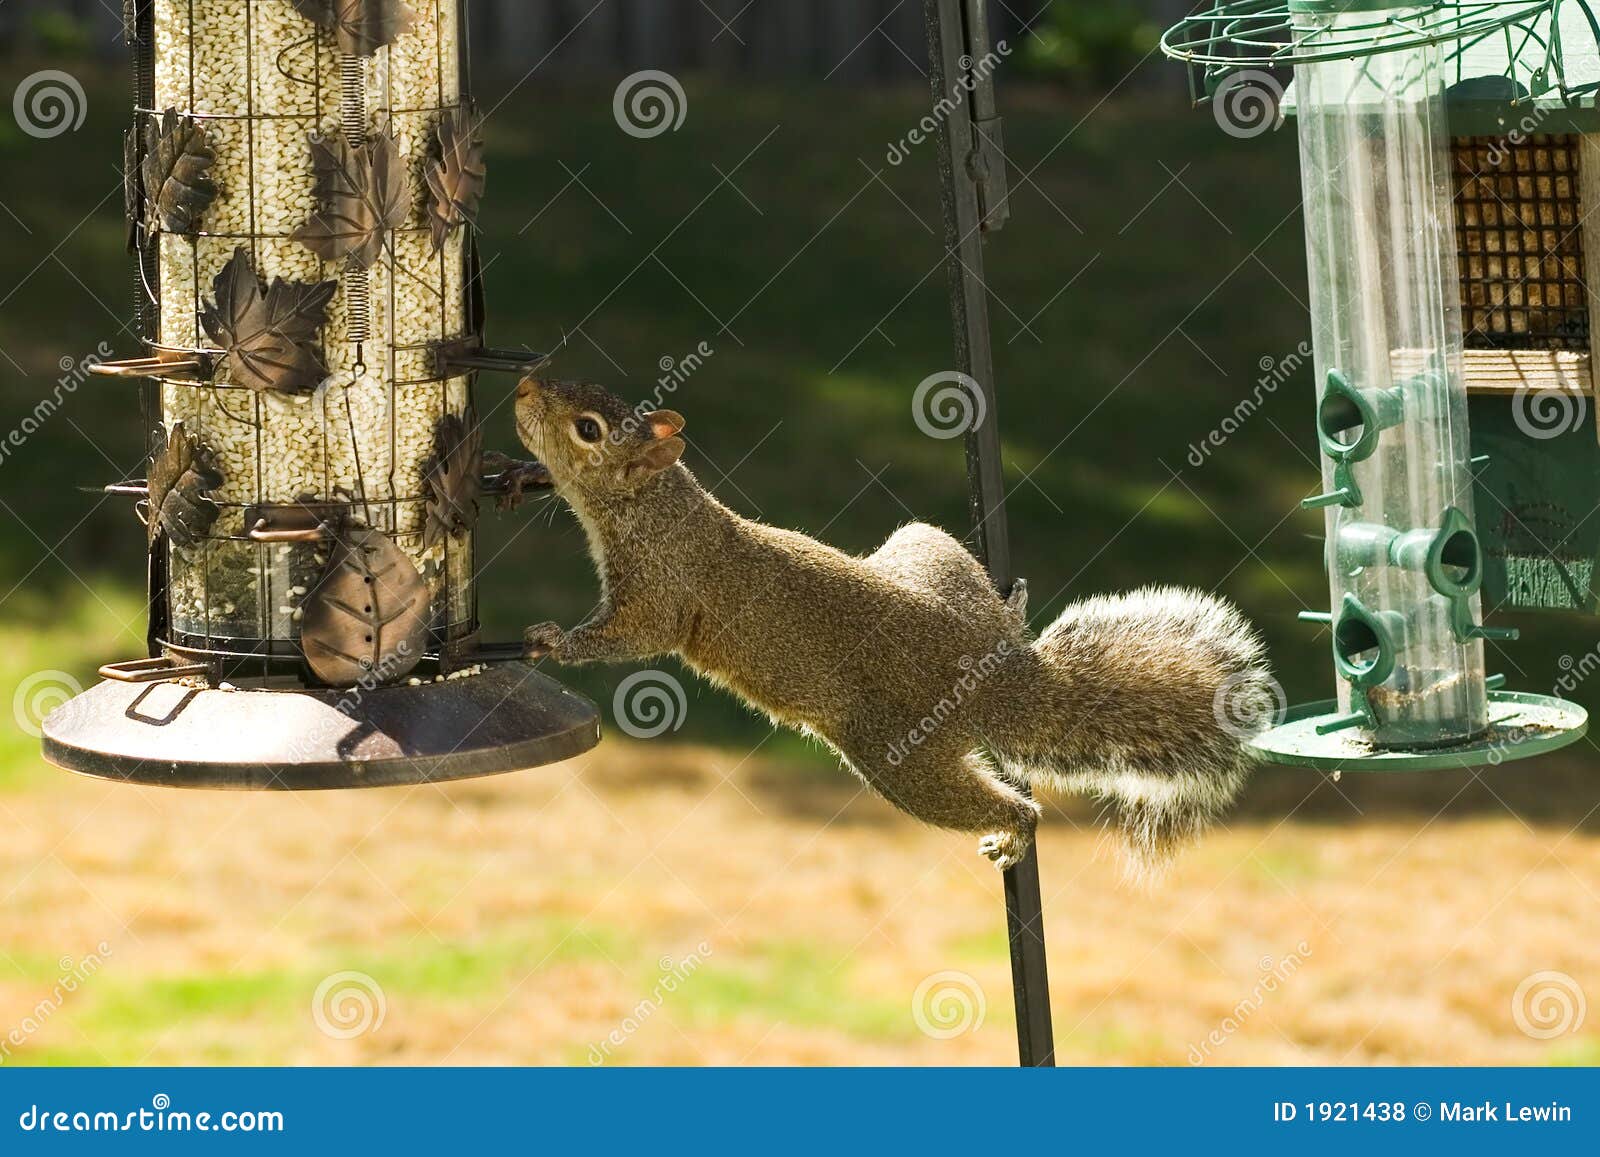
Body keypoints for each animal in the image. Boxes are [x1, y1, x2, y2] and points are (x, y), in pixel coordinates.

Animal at [514, 377, 1272, 875]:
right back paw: (1013, 610)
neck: (656, 504)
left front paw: (554, 640)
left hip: (896, 755)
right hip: (929, 550)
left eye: (587, 428)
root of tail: (995, 674)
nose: (524, 385)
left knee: (998, 804)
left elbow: (631, 636)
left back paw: (1015, 831)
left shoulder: (661, 588)